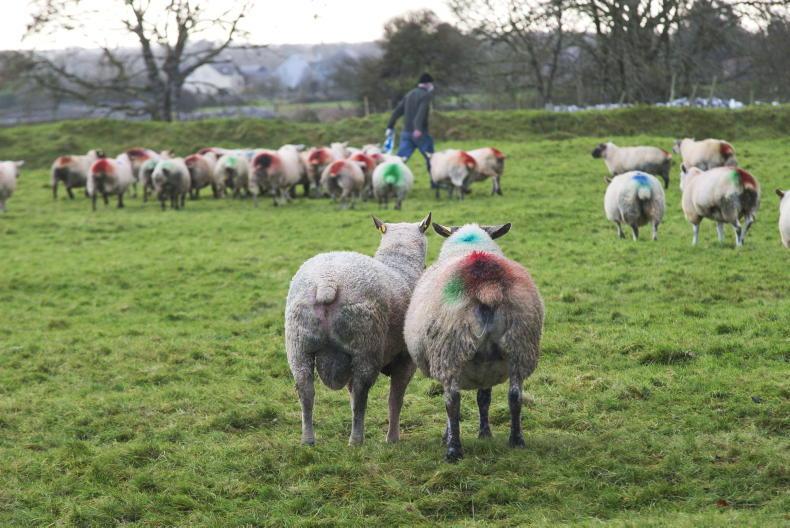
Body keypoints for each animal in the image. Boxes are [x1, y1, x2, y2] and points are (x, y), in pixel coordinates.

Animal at [285, 213, 432, 445]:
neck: (400, 265)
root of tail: (327, 282)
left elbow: (352, 394)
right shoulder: (406, 360)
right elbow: (395, 400)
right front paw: (392, 438)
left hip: (298, 346)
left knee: (305, 391)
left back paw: (308, 440)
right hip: (366, 347)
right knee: (362, 395)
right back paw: (356, 440)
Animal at [404, 222, 544, 462]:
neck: (470, 245)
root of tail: (487, 286)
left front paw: (448, 436)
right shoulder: (488, 369)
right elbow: (484, 398)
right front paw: (485, 434)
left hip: (449, 350)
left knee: (452, 400)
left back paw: (453, 451)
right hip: (520, 345)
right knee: (515, 395)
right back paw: (516, 441)